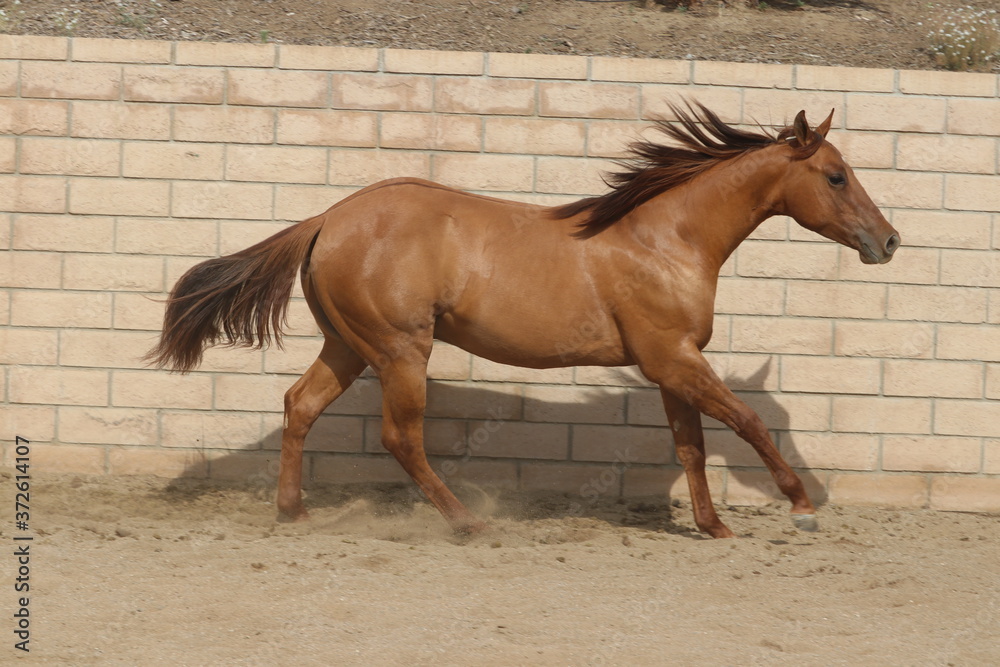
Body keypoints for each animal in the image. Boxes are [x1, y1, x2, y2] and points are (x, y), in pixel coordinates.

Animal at [147, 103, 900, 538]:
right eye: (836, 176)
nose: (888, 241)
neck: (666, 238)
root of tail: (328, 218)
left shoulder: (671, 365)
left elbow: (690, 444)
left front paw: (713, 526)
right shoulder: (673, 357)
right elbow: (746, 420)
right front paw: (801, 504)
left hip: (349, 345)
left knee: (300, 405)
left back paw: (294, 511)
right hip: (399, 350)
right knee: (400, 437)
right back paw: (467, 523)